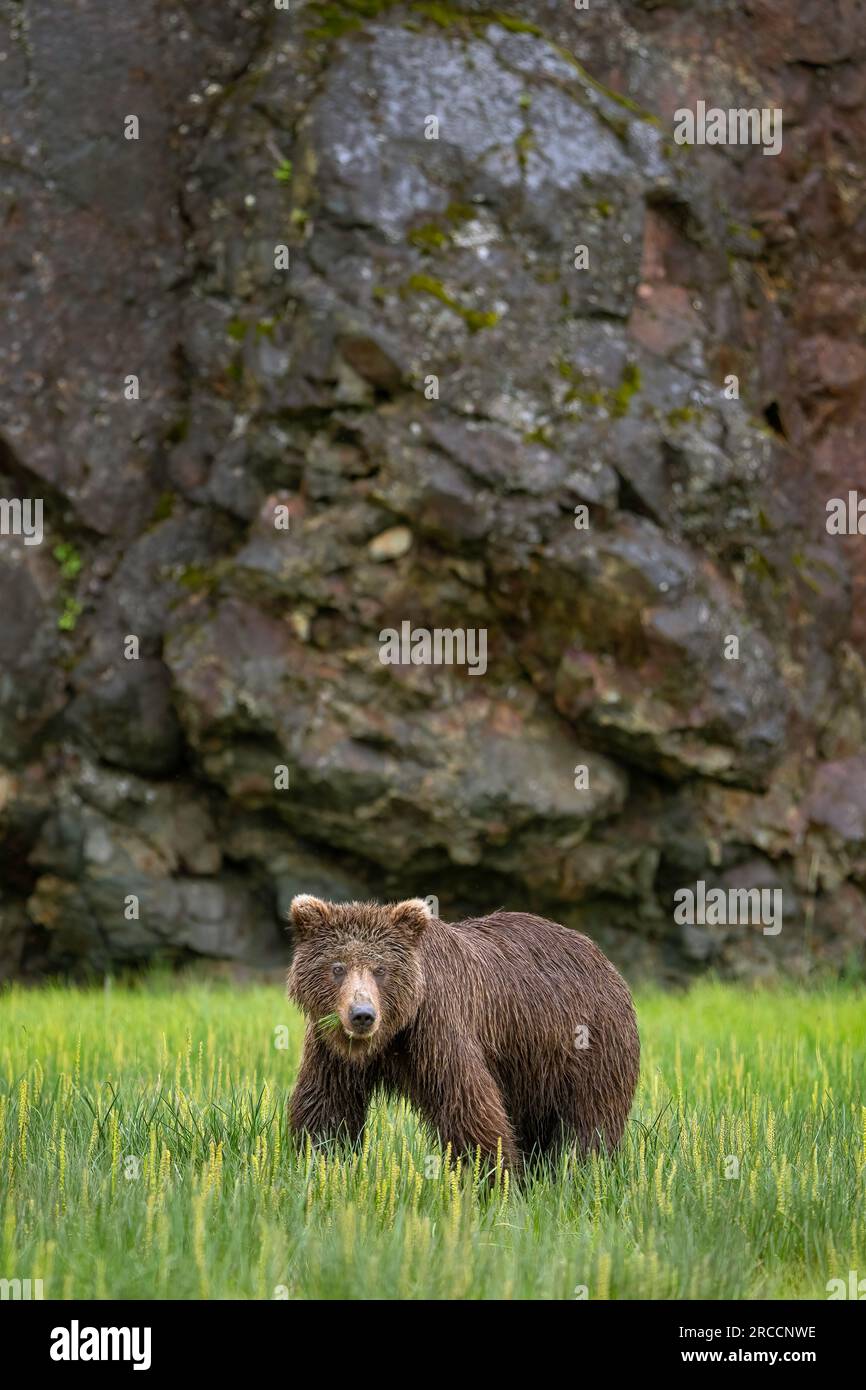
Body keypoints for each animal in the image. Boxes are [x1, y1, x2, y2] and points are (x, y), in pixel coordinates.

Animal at [287, 895, 640, 1172]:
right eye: (337, 967)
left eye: (381, 970)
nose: (362, 1015)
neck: (391, 1036)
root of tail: (602, 958)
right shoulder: (331, 1047)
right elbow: (326, 1106)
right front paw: (321, 1161)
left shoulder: (438, 1026)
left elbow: (467, 1104)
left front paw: (494, 1179)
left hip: (587, 1042)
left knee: (589, 1119)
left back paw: (581, 1169)